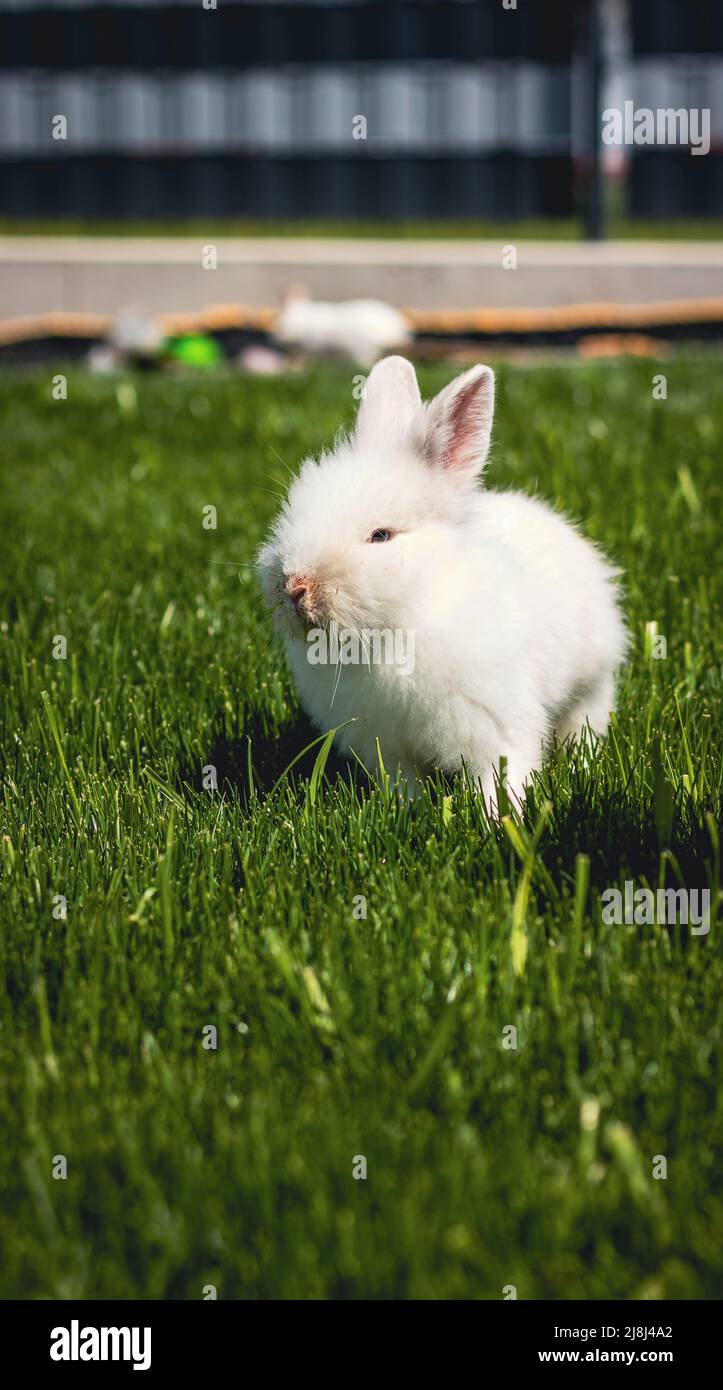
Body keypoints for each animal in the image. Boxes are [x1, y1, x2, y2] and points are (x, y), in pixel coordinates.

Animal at [257, 356, 628, 809]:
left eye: (380, 536)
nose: (296, 586)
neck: (399, 627)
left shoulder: (494, 723)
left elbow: (502, 774)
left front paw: (499, 817)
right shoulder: (385, 746)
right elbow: (403, 783)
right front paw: (406, 810)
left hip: (592, 680)